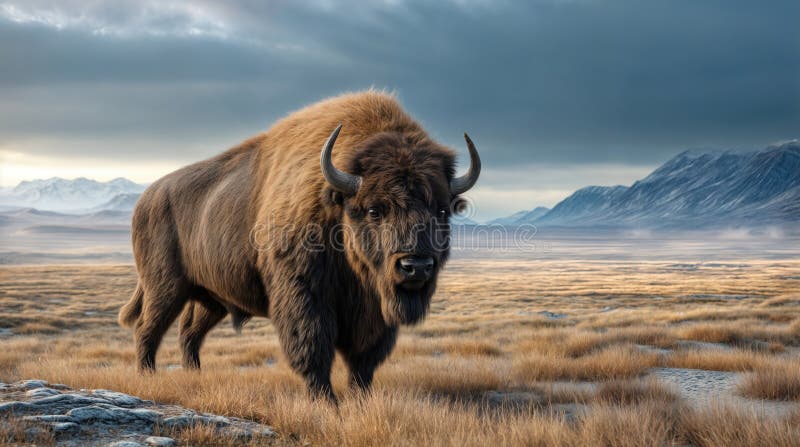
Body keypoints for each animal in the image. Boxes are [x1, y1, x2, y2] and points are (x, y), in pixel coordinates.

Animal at [118, 91, 481, 401]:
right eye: (375, 209)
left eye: (442, 209)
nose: (415, 266)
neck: (337, 204)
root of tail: (145, 199)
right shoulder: (304, 294)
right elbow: (313, 348)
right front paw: (326, 403)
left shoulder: (375, 313)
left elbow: (364, 361)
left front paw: (360, 399)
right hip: (165, 287)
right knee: (148, 328)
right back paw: (147, 376)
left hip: (211, 298)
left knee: (189, 333)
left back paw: (194, 374)